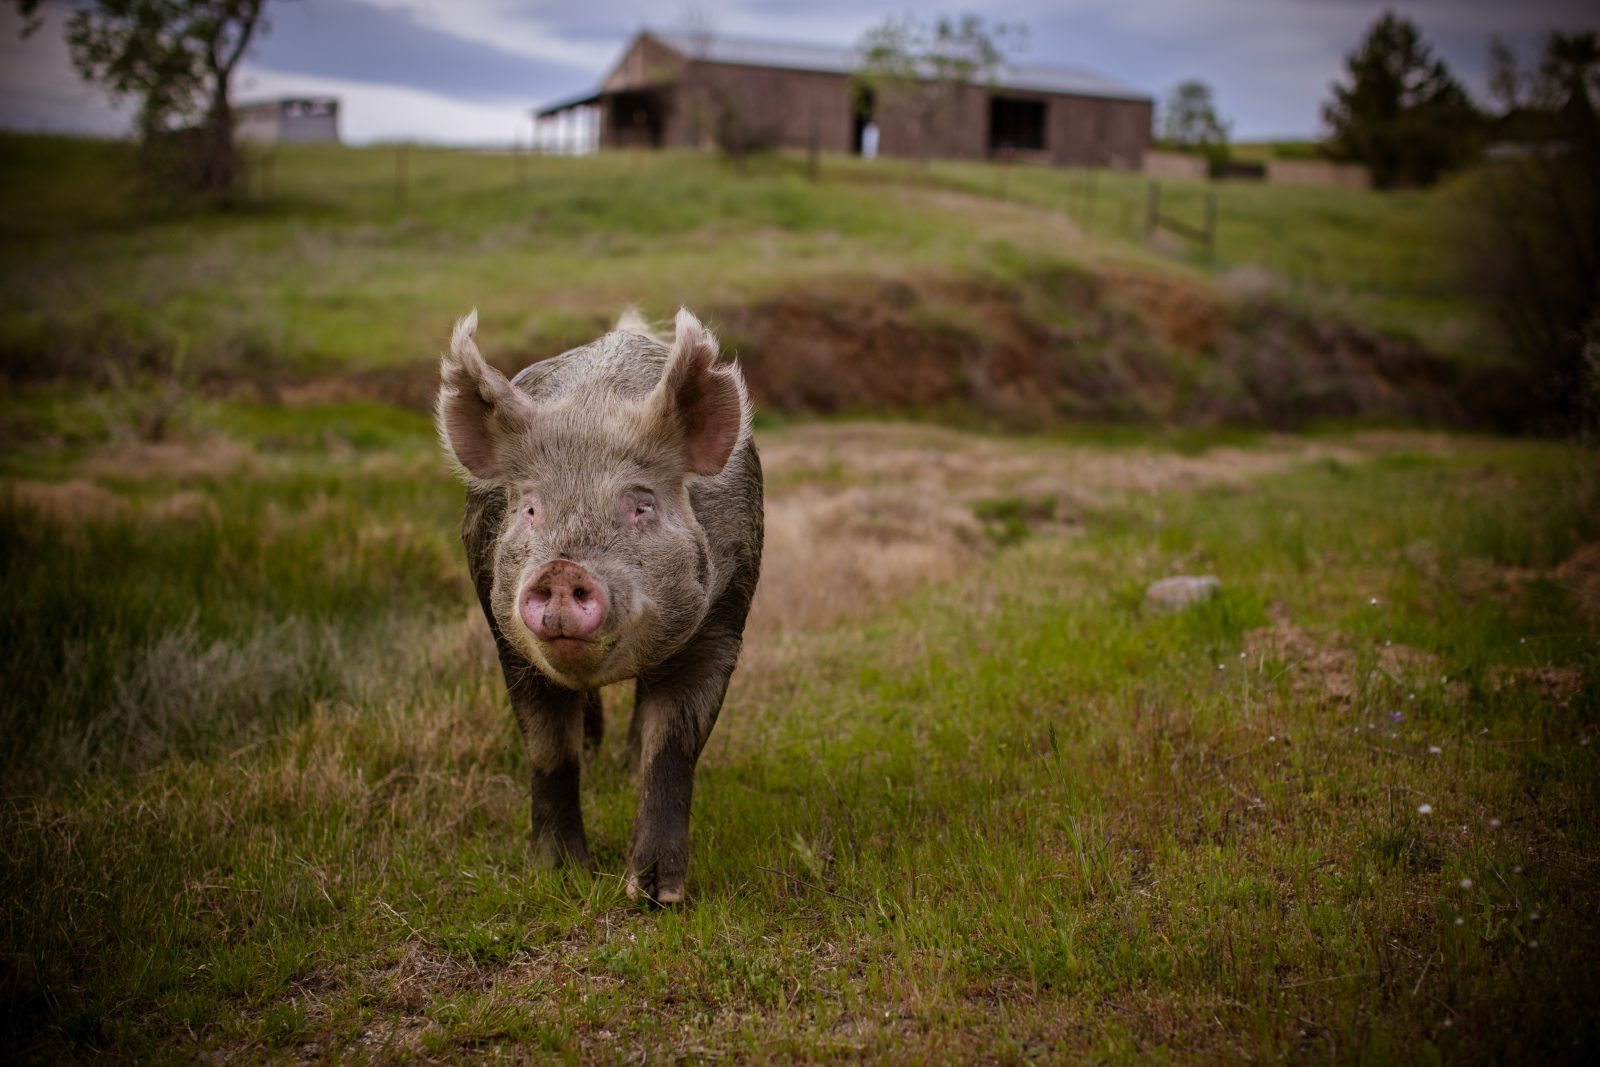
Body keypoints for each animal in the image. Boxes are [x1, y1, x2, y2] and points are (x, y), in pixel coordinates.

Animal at [436, 307, 762, 905]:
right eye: (532, 508)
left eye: (641, 506)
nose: (562, 570)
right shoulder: (507, 640)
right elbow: (548, 750)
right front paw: (558, 875)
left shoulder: (722, 622)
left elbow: (673, 744)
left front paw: (655, 896)